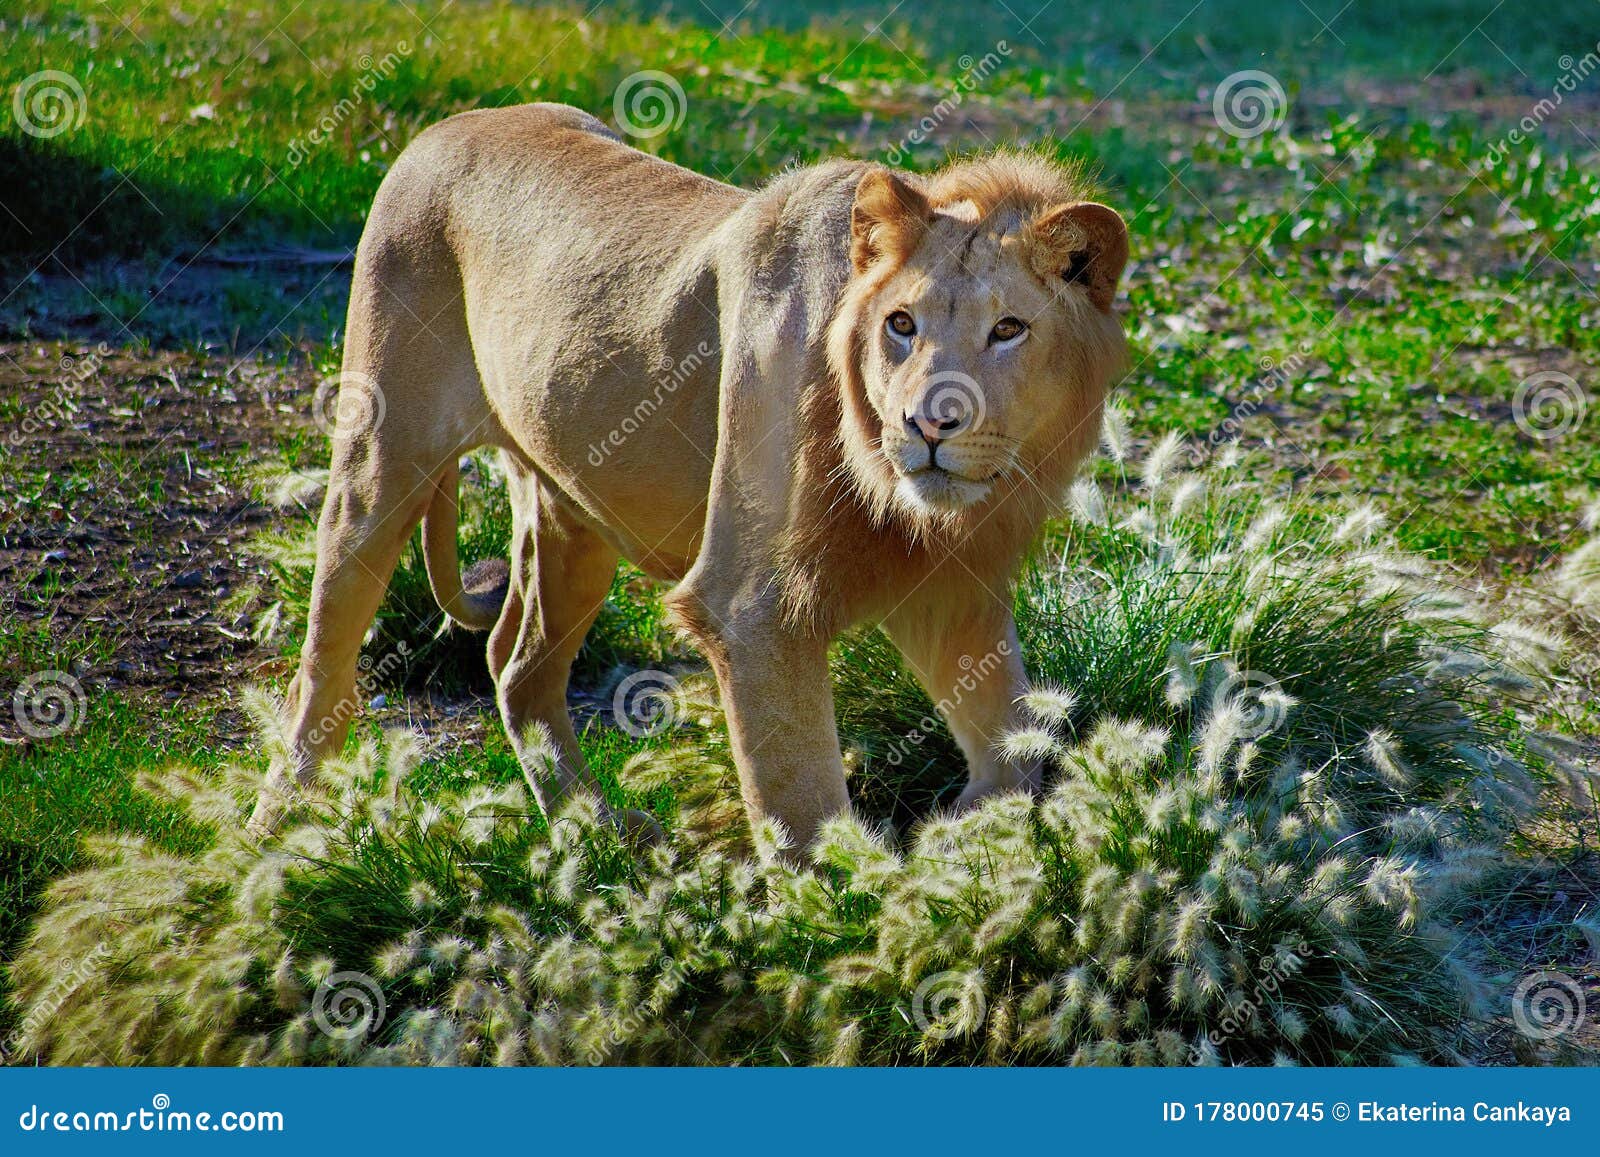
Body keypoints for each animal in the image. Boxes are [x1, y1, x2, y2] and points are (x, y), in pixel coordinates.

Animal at [249, 103, 1129, 852]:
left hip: (569, 509)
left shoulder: (950, 592)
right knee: (322, 670)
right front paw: (837, 918)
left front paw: (972, 842)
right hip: (380, 462)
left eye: (1009, 329)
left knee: (516, 664)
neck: (908, 502)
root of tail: (444, 126)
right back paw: (280, 833)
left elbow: (1016, 745)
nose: (928, 425)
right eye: (901, 325)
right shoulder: (751, 608)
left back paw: (595, 829)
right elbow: (802, 811)